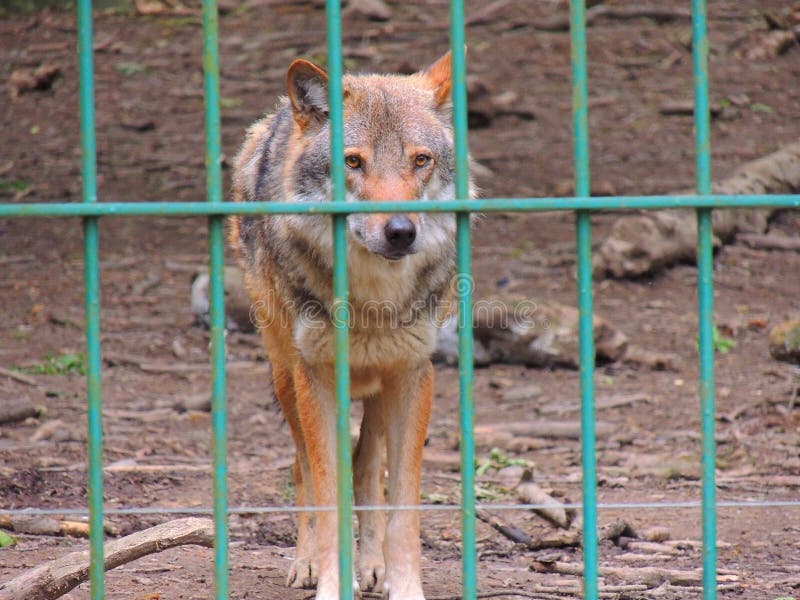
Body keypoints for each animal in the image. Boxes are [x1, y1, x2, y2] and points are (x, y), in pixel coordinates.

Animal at [229, 52, 471, 599]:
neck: (371, 302)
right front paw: (330, 582)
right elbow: (326, 491)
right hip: (286, 376)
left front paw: (401, 585)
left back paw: (372, 566)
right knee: (302, 468)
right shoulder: (314, 376)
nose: (401, 232)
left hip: (378, 388)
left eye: (420, 160)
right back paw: (307, 563)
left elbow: (401, 504)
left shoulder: (413, 374)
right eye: (353, 162)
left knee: (365, 466)